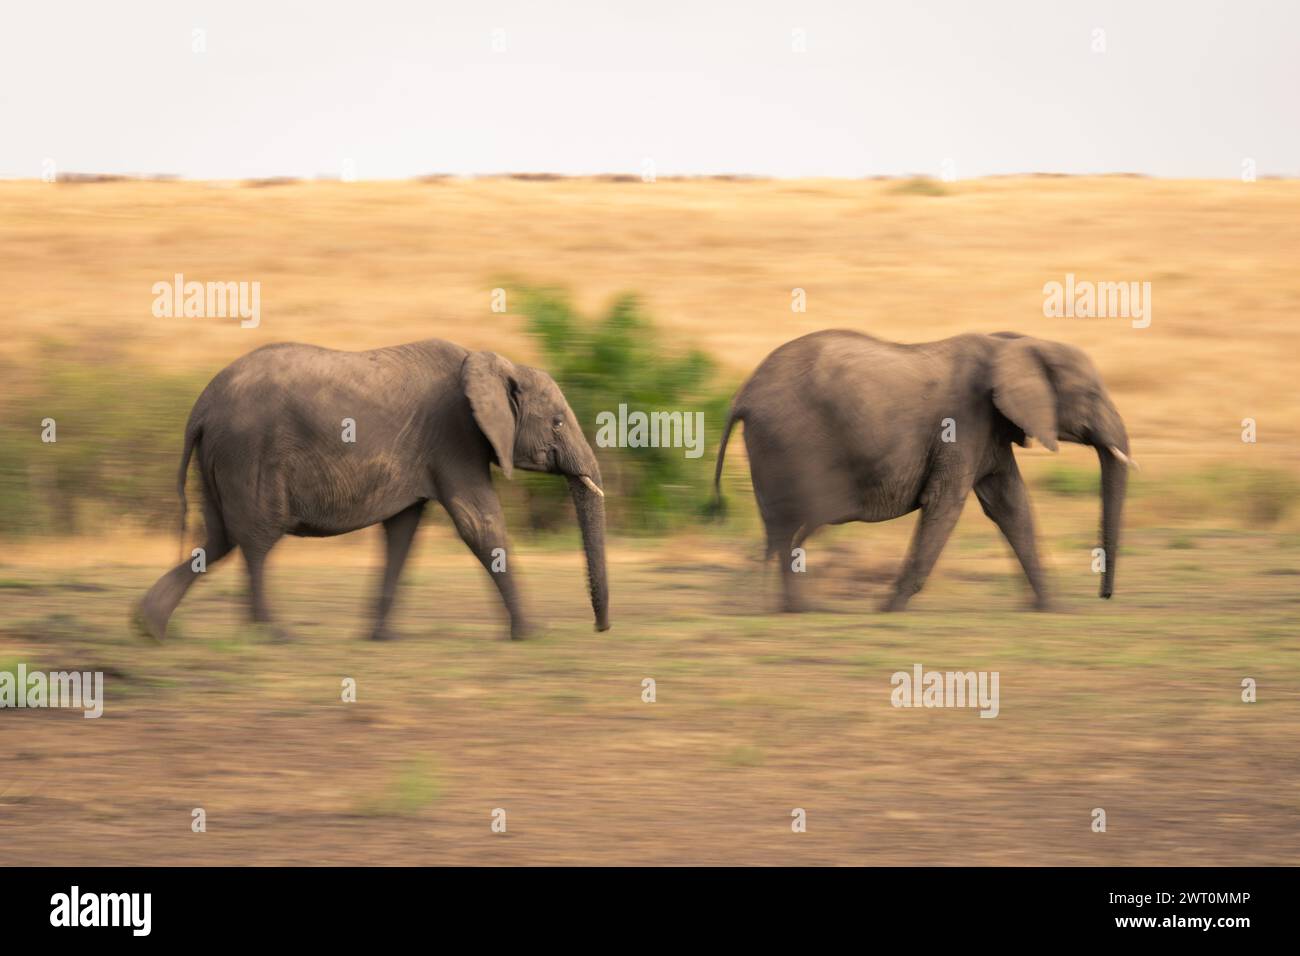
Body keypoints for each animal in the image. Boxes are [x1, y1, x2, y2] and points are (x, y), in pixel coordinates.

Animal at [135, 339, 610, 642]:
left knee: (217, 540)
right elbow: (480, 523)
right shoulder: (455, 436)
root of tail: (202, 406)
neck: (492, 361)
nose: (600, 629)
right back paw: (272, 635)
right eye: (558, 423)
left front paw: (382, 637)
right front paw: (534, 634)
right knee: (253, 542)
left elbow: (402, 533)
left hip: (220, 457)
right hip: (246, 452)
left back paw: (147, 627)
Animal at [713, 330, 1135, 613]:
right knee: (795, 525)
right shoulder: (963, 422)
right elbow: (945, 503)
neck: (1015, 342)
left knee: (782, 531)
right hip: (788, 445)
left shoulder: (990, 431)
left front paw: (1051, 607)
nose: (1105, 595)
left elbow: (1010, 505)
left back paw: (787, 606)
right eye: (1092, 395)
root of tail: (741, 396)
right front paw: (888, 609)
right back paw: (796, 607)